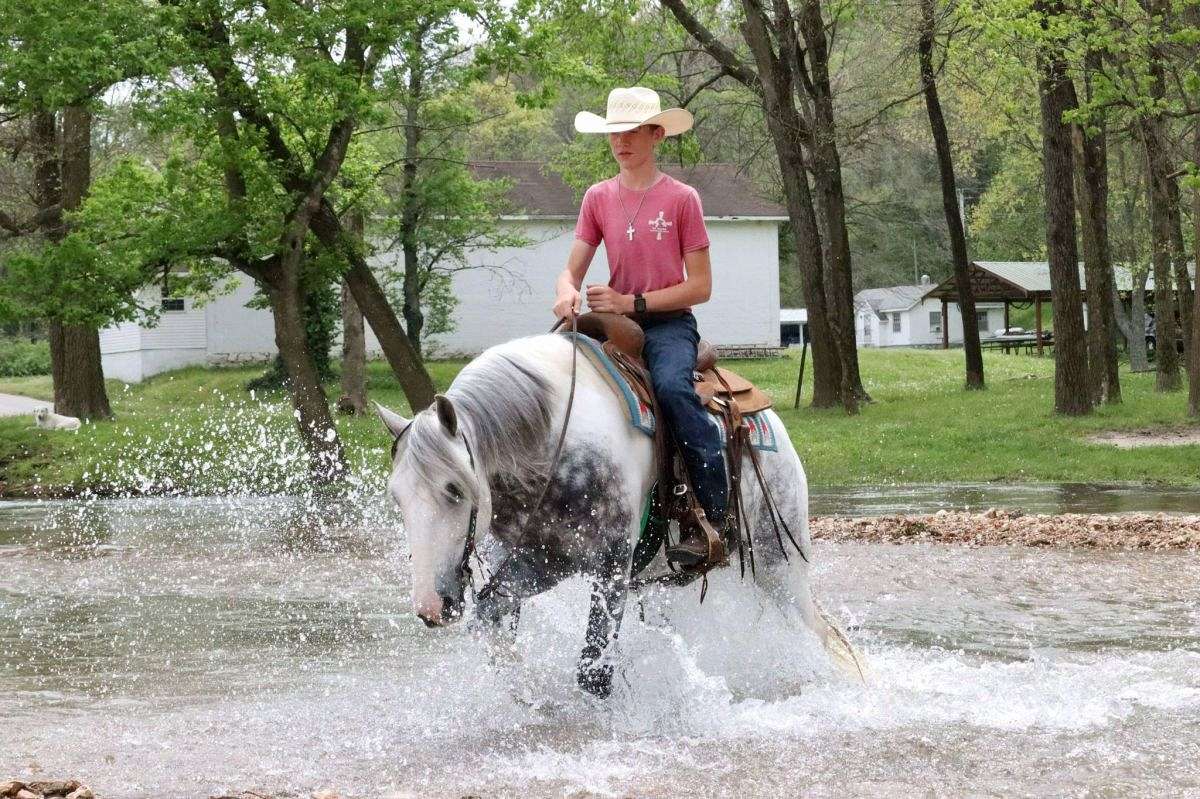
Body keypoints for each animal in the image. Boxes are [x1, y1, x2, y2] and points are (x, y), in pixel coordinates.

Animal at [377, 333, 862, 698]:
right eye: (397, 498)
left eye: (454, 489)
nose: (431, 606)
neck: (552, 438)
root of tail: (769, 423)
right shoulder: (542, 562)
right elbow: (491, 622)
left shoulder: (609, 566)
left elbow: (594, 673)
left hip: (779, 563)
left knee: (818, 632)